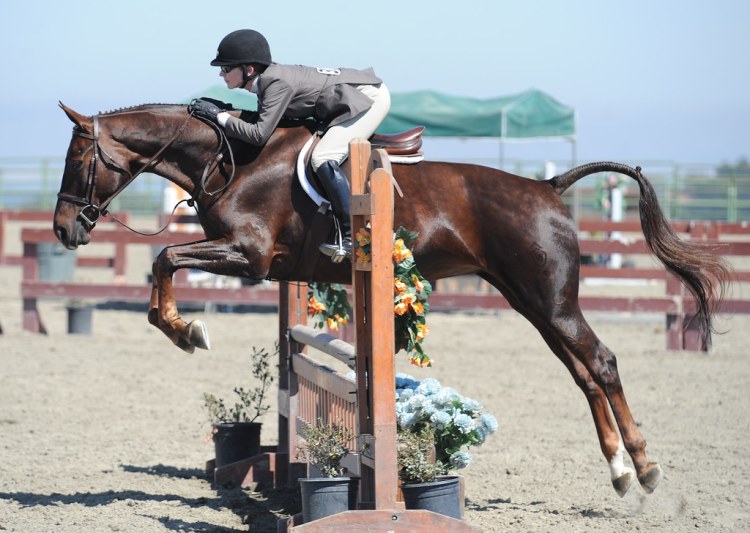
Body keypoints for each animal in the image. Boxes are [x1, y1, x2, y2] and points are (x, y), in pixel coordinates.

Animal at [54, 102, 730, 497]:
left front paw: (185, 330)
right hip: (532, 304)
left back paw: (644, 467)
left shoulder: (247, 256)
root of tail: (547, 186)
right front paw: (181, 326)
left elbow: (165, 258)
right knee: (584, 372)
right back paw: (619, 471)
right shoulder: (251, 260)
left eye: (79, 158)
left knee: (603, 363)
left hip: (551, 301)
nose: (64, 231)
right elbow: (165, 262)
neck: (233, 159)